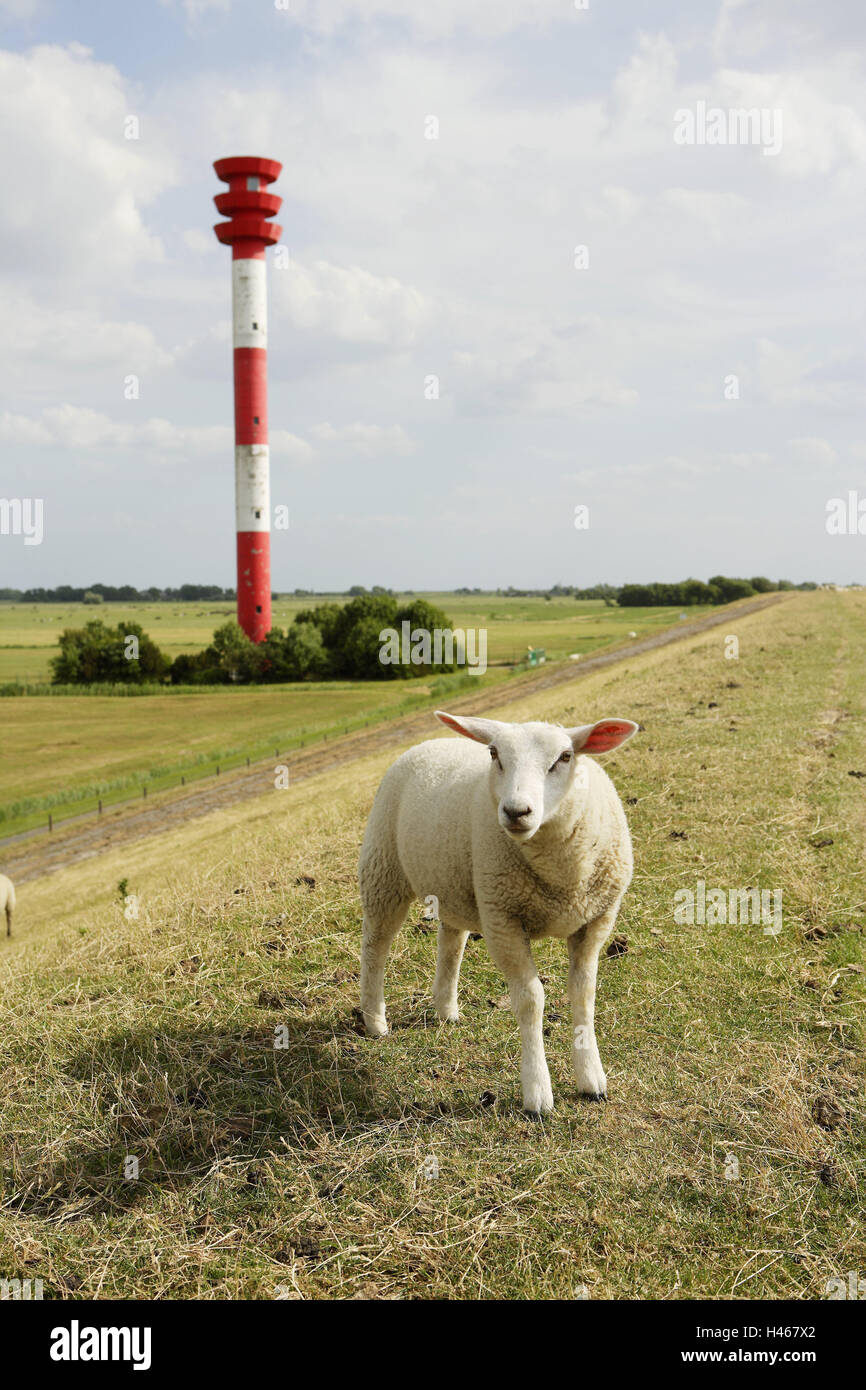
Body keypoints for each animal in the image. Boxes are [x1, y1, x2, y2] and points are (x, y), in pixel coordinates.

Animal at [358, 709, 638, 1114]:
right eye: (494, 754)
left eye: (565, 757)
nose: (516, 811)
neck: (561, 876)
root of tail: (430, 741)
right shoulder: (502, 921)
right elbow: (531, 1000)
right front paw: (537, 1093)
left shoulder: (596, 919)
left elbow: (584, 993)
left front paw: (591, 1079)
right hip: (384, 870)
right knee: (375, 948)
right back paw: (376, 1021)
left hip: (454, 882)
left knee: (451, 941)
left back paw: (446, 1008)